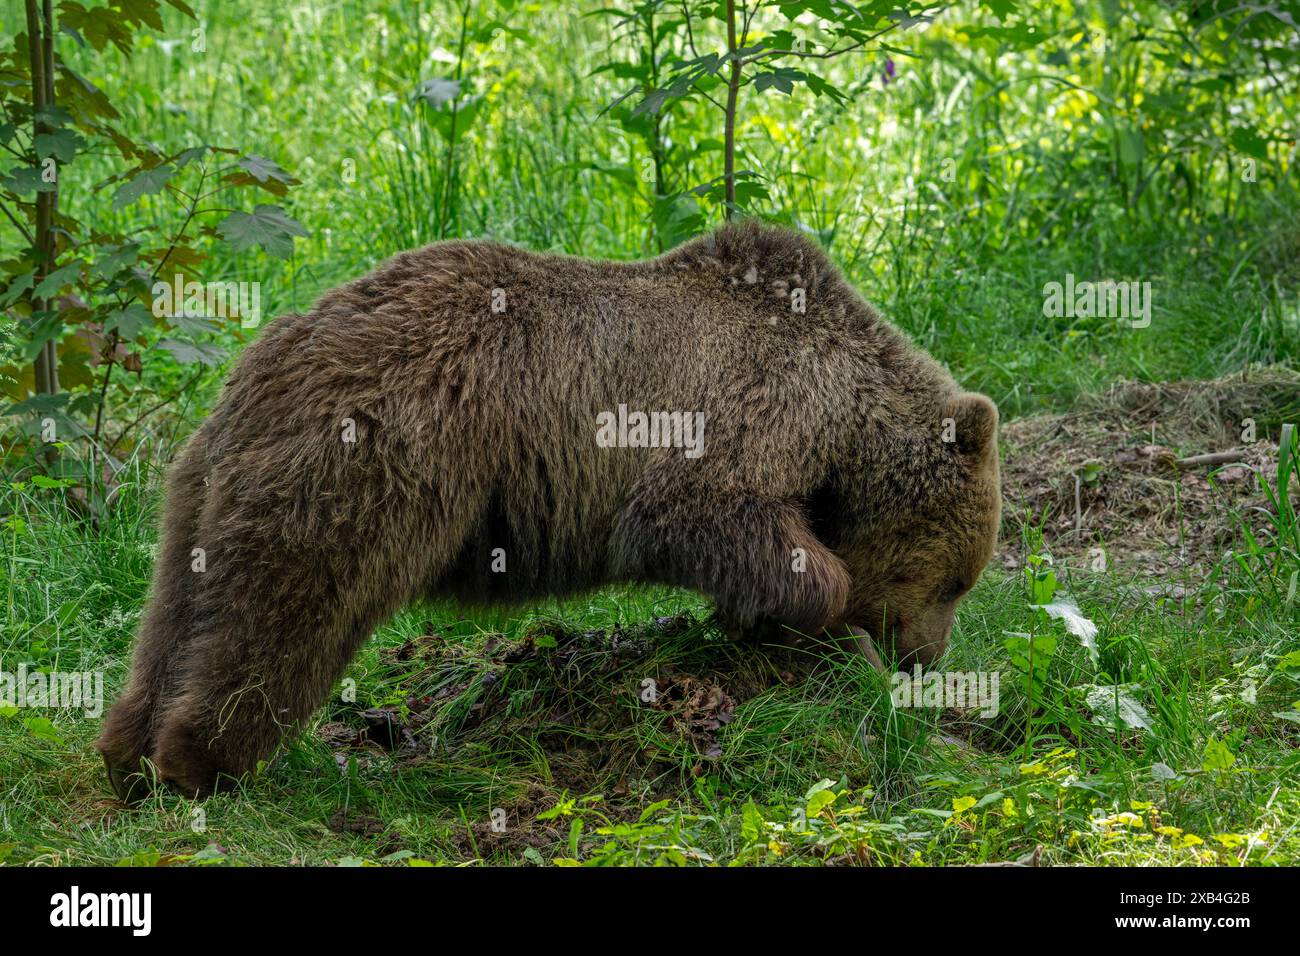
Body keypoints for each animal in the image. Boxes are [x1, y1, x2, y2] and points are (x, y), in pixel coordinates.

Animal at [95, 219, 1001, 800]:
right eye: (957, 580)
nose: (926, 659)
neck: (842, 413)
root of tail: (268, 363)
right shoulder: (738, 413)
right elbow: (705, 512)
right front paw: (827, 610)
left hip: (200, 486)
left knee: (181, 609)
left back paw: (128, 754)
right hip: (368, 472)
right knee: (283, 615)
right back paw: (204, 765)